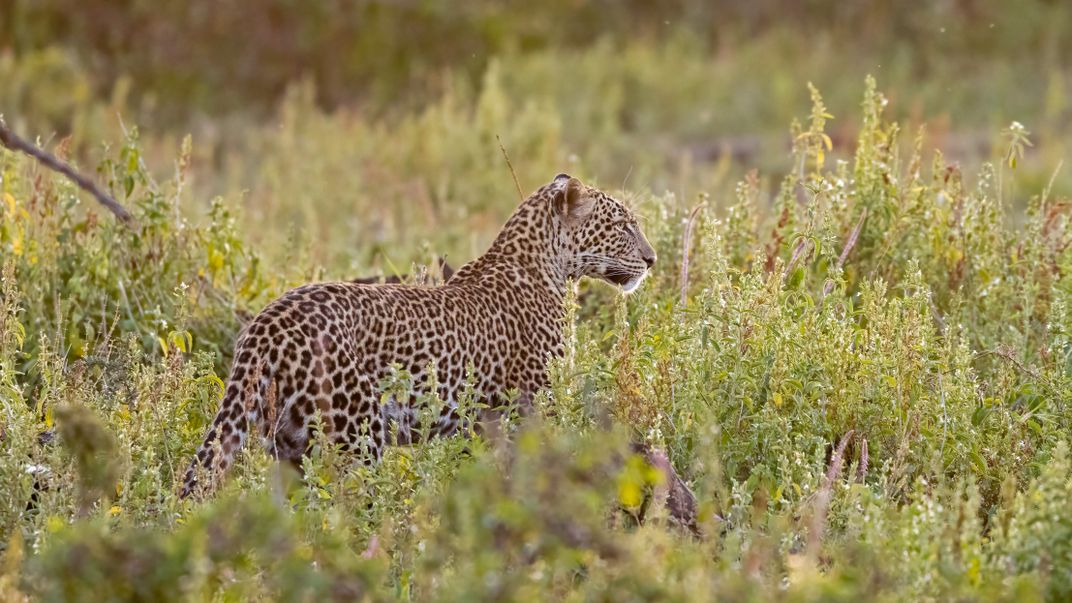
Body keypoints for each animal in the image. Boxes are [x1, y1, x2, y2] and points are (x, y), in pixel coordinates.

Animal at [181, 174, 656, 498]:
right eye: (623, 225)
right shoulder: (534, 409)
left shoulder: (479, 427)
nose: (651, 259)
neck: (550, 268)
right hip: (356, 439)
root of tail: (267, 324)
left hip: (288, 448)